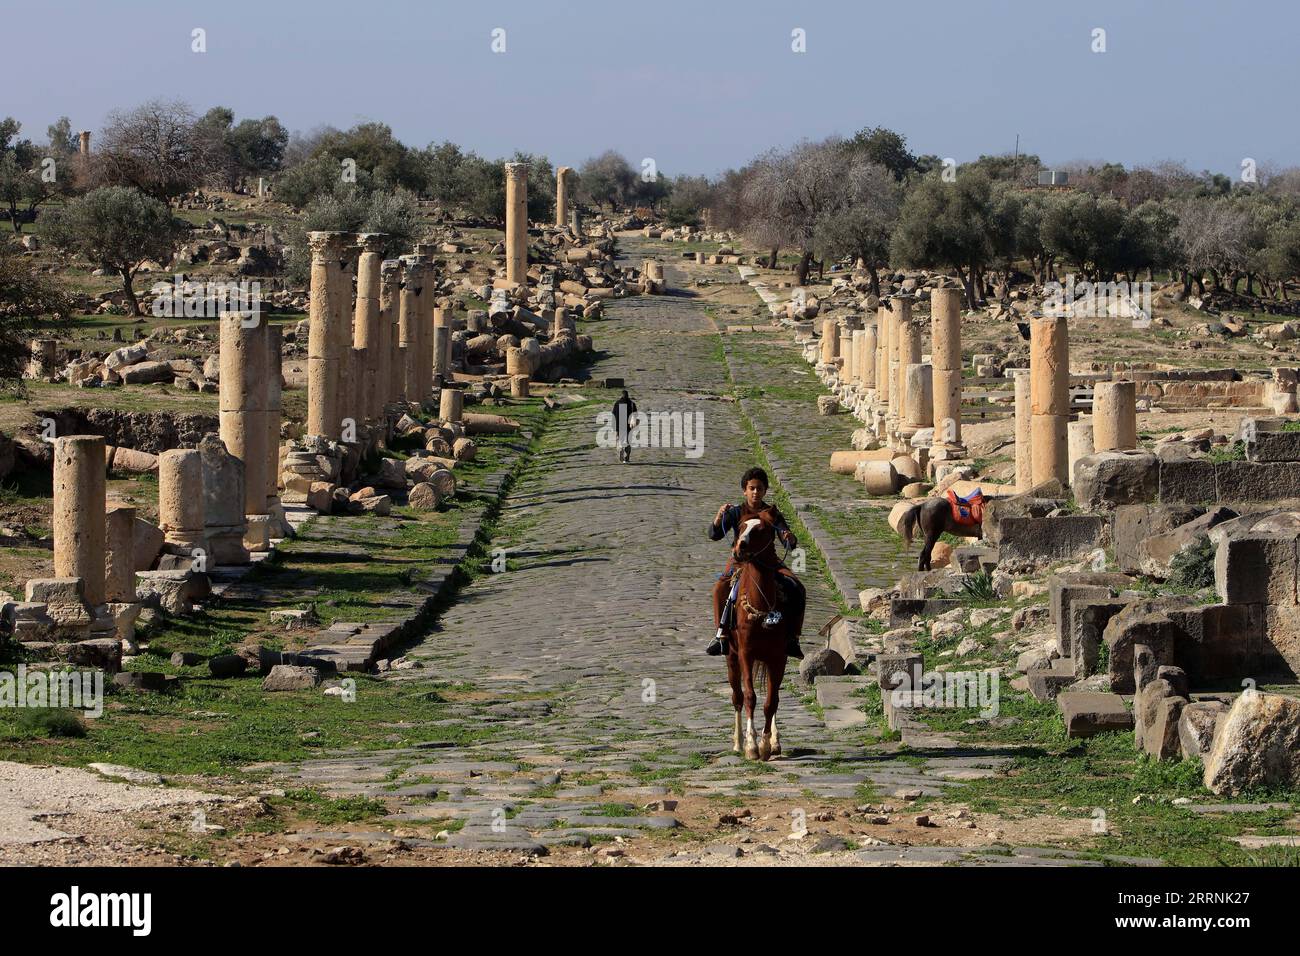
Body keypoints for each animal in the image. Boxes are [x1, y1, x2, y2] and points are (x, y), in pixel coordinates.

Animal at [724, 510, 790, 761]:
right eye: (741, 526)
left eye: (761, 530)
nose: (738, 548)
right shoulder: (746, 654)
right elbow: (750, 696)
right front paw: (752, 746)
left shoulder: (779, 658)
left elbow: (772, 701)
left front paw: (766, 744)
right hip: (731, 657)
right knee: (737, 697)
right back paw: (738, 743)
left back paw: (774, 741)